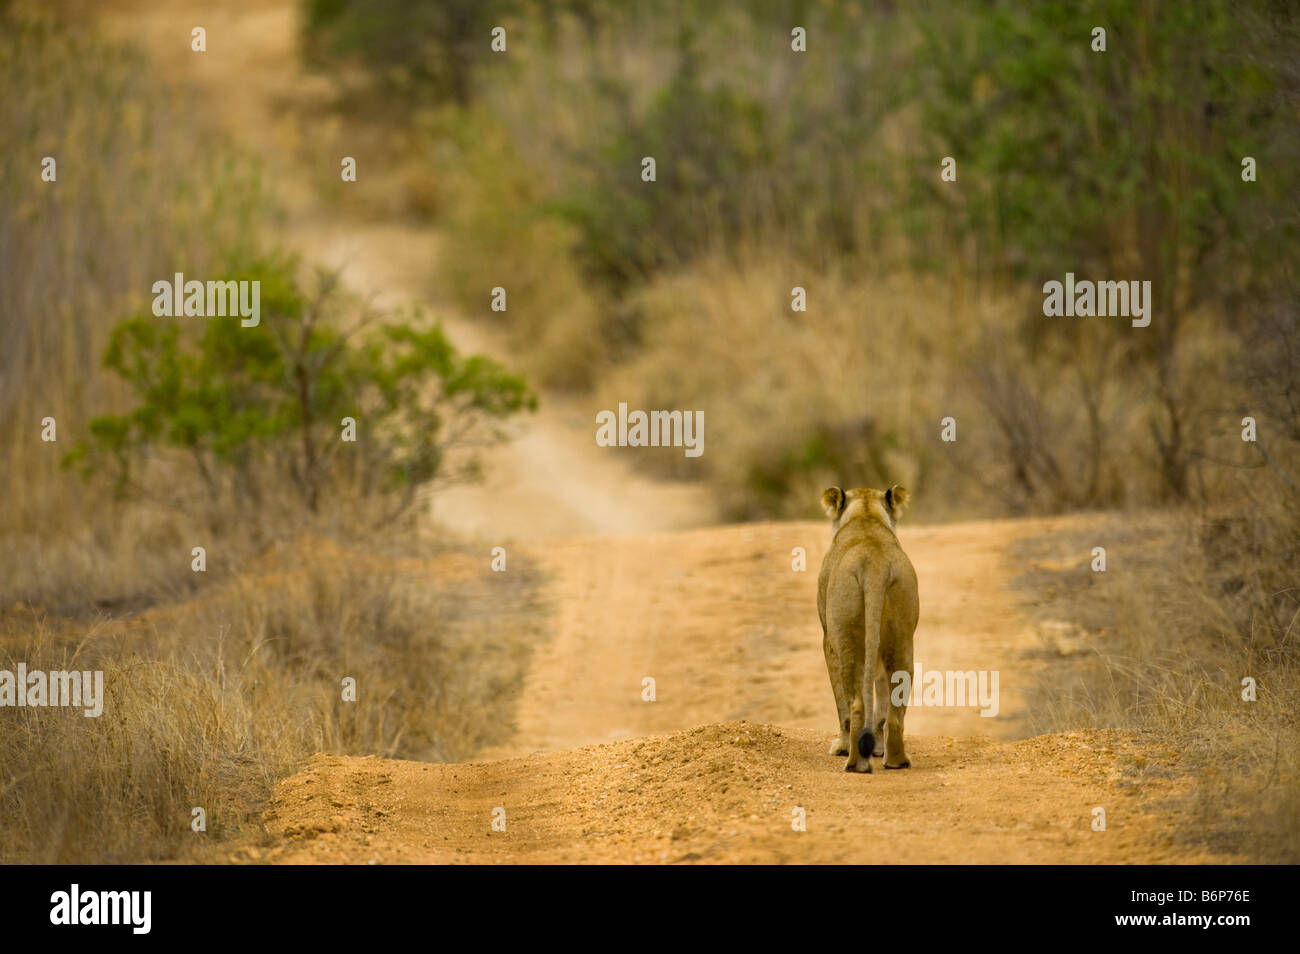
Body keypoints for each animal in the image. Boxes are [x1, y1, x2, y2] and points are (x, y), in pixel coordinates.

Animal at [817, 485, 919, 773]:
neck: (866, 516)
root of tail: (874, 563)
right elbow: (882, 702)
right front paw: (878, 748)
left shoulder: (828, 640)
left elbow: (841, 700)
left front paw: (840, 747)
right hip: (902, 638)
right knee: (894, 712)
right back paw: (896, 760)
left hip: (847, 640)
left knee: (855, 704)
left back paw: (854, 761)